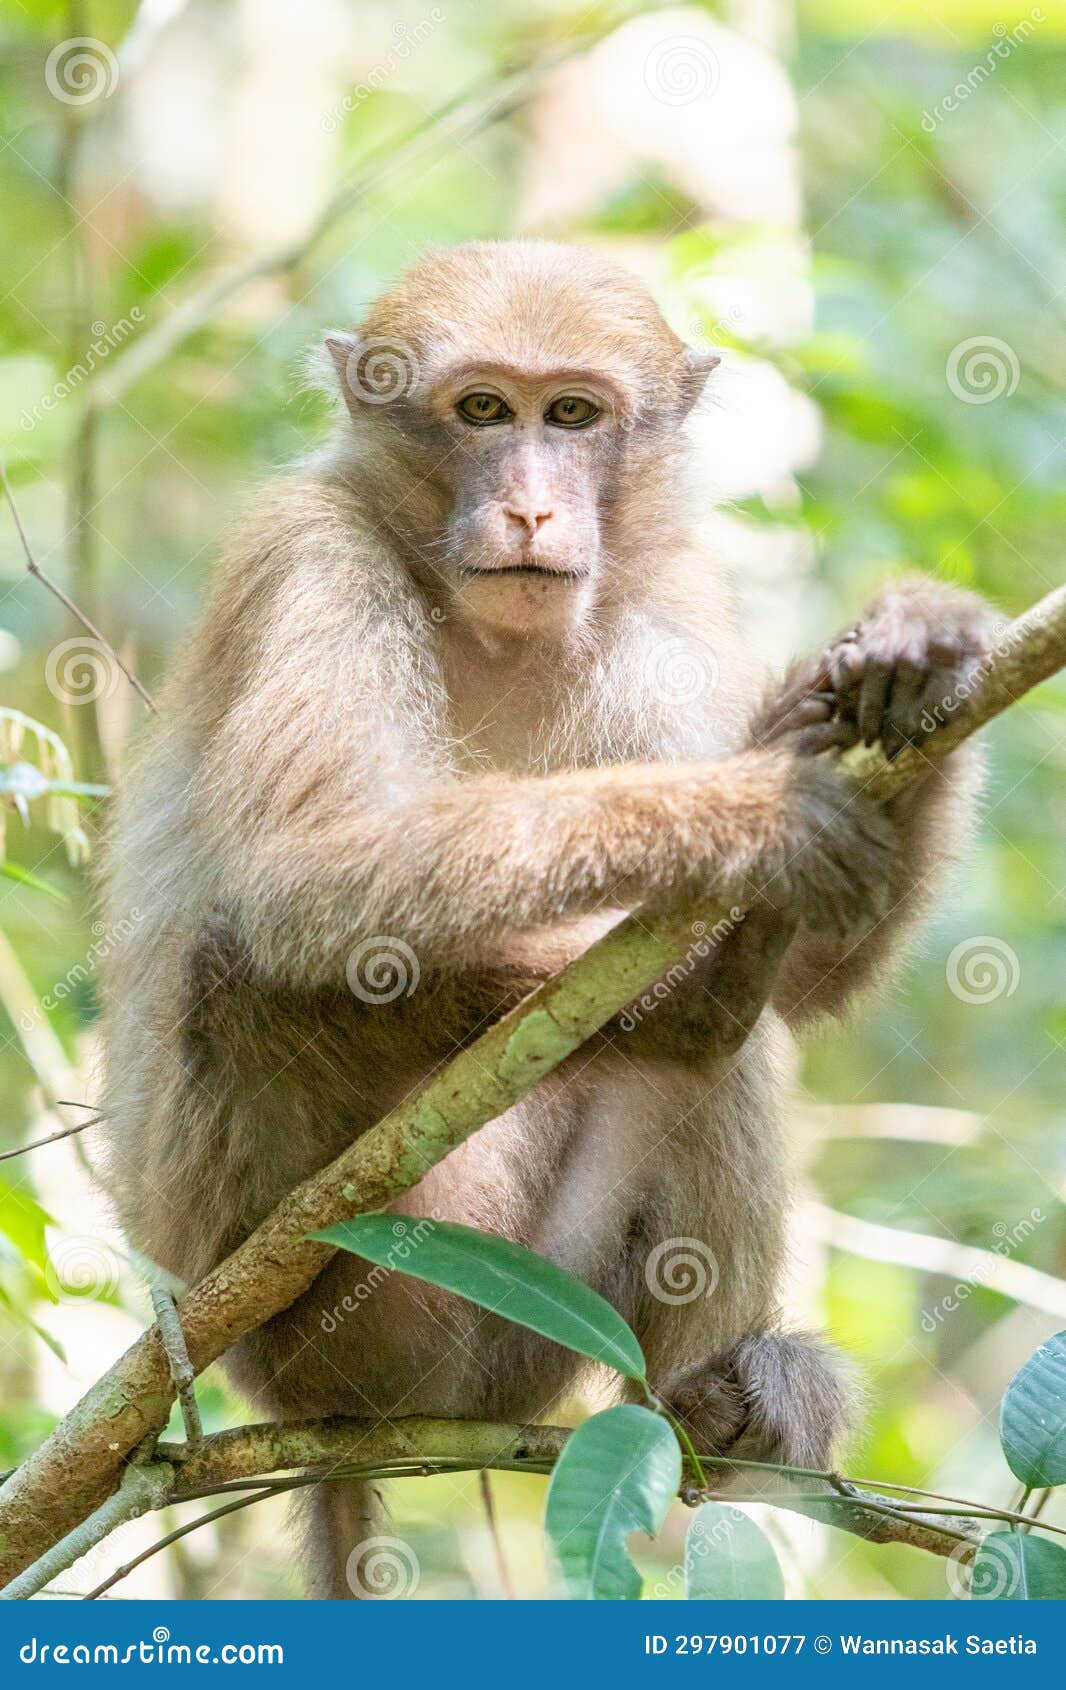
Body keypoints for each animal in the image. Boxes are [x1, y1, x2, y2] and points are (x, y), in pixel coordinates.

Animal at [99, 240, 992, 1599]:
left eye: (571, 414)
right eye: (481, 410)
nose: (528, 507)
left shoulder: (668, 591)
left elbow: (814, 985)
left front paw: (919, 656)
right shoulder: (303, 552)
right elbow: (305, 879)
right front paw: (758, 803)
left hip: (537, 1324)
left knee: (721, 1064)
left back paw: (711, 1400)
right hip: (349, 1297)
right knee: (246, 962)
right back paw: (689, 1008)